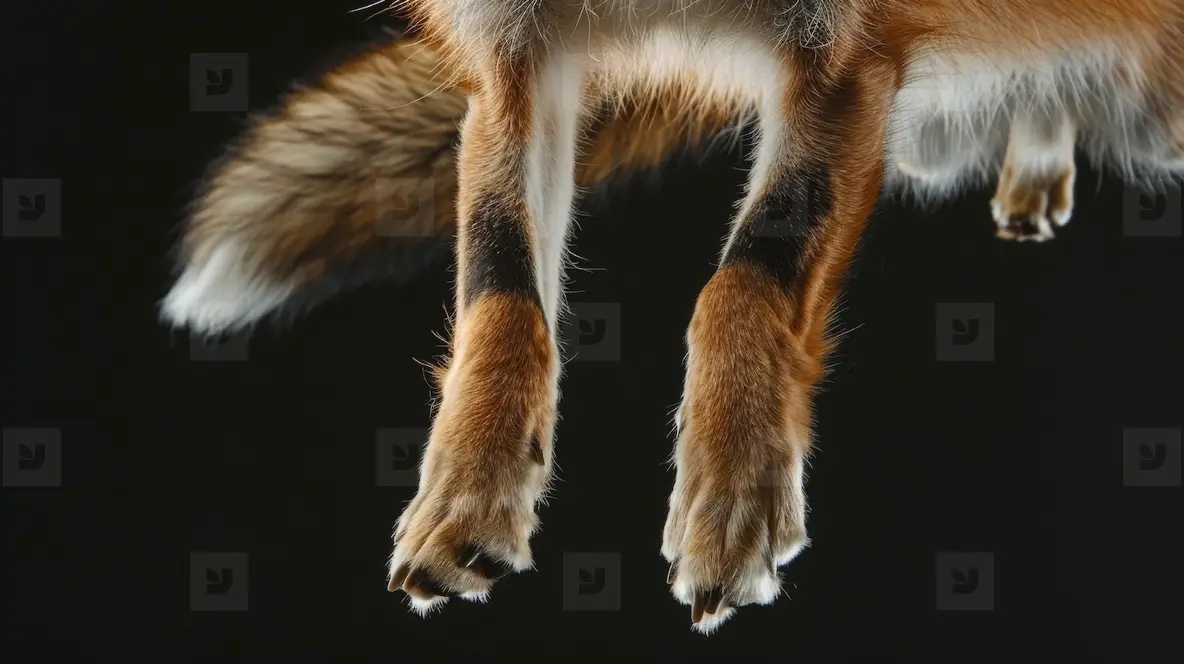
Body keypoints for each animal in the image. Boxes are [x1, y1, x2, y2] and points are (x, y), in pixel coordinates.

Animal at [160, 1, 1184, 634]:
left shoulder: (843, 58)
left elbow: (742, 281)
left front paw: (733, 489)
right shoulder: (513, 58)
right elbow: (501, 291)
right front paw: (467, 487)